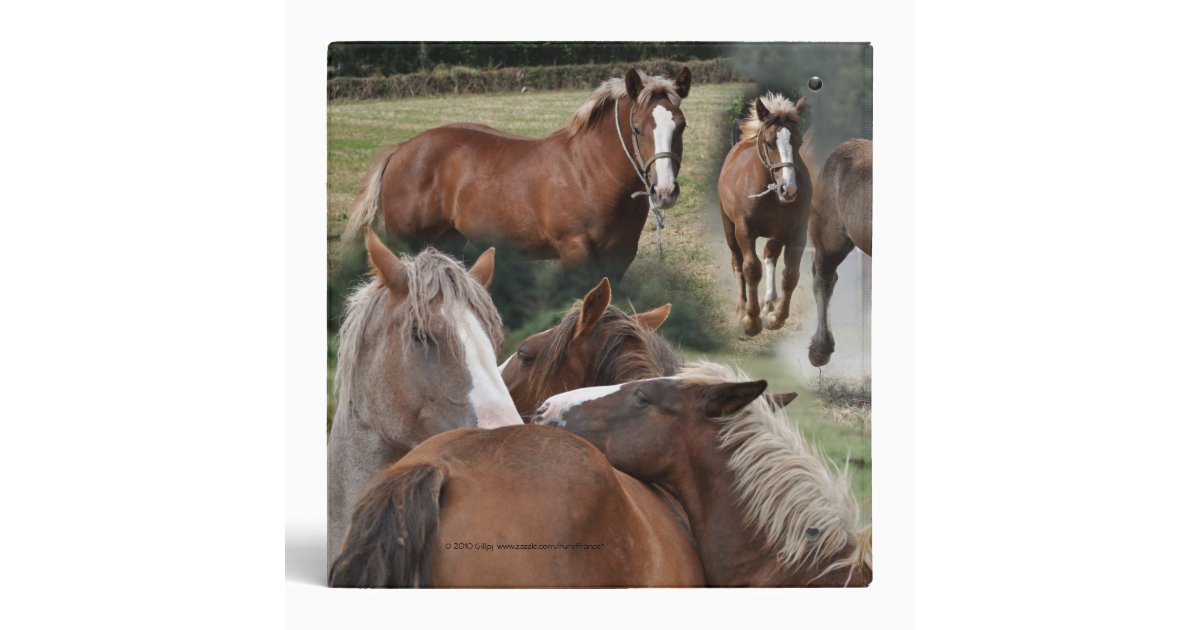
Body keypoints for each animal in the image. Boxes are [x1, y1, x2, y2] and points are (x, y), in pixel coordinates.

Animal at [341, 67, 693, 282]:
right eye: (637, 129)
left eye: (681, 126)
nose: (664, 191)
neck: (591, 173)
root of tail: (401, 149)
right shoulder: (575, 254)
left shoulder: (619, 259)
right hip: (406, 244)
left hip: (448, 241)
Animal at [717, 93, 813, 336]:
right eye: (770, 143)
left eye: (798, 143)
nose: (789, 189)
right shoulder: (744, 230)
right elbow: (751, 269)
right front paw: (751, 320)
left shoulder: (797, 234)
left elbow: (791, 275)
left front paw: (776, 317)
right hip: (728, 227)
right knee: (737, 262)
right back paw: (742, 308)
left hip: (778, 234)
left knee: (771, 254)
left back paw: (769, 303)